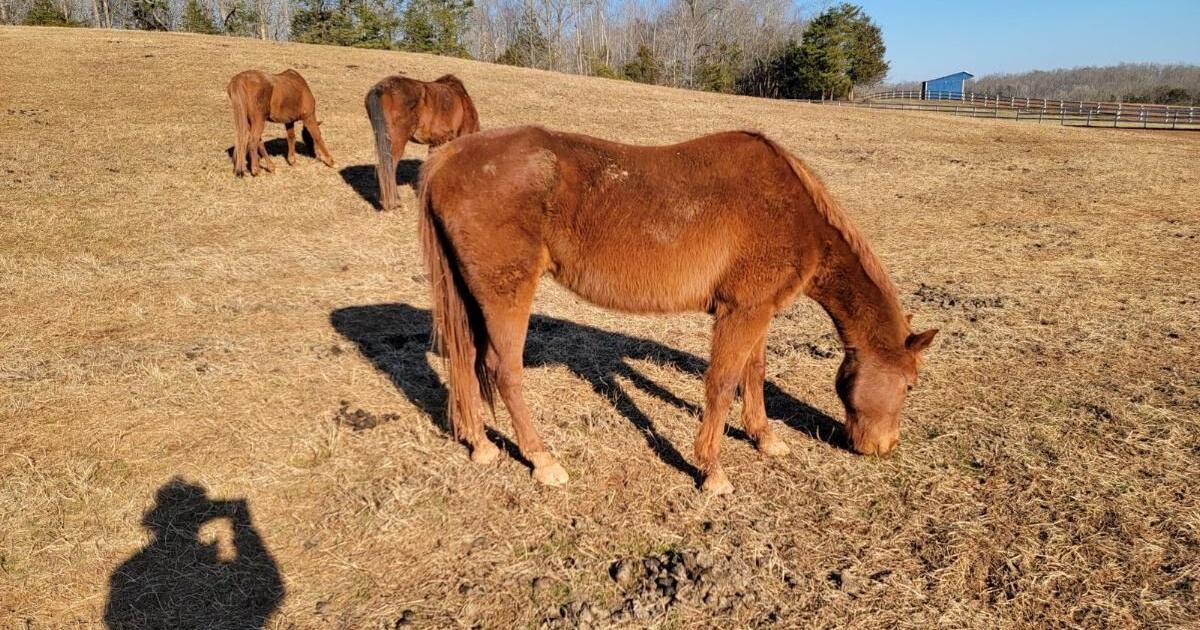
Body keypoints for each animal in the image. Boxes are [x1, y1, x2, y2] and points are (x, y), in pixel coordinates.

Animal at [417, 126, 937, 495]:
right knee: (503, 370)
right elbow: (722, 384)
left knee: (465, 360)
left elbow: (754, 372)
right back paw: (544, 462)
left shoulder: (758, 310)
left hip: (471, 295)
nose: (882, 448)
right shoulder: (740, 312)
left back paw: (482, 446)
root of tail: (449, 156)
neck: (793, 212)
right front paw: (713, 471)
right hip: (507, 293)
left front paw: (765, 439)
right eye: (910, 384)